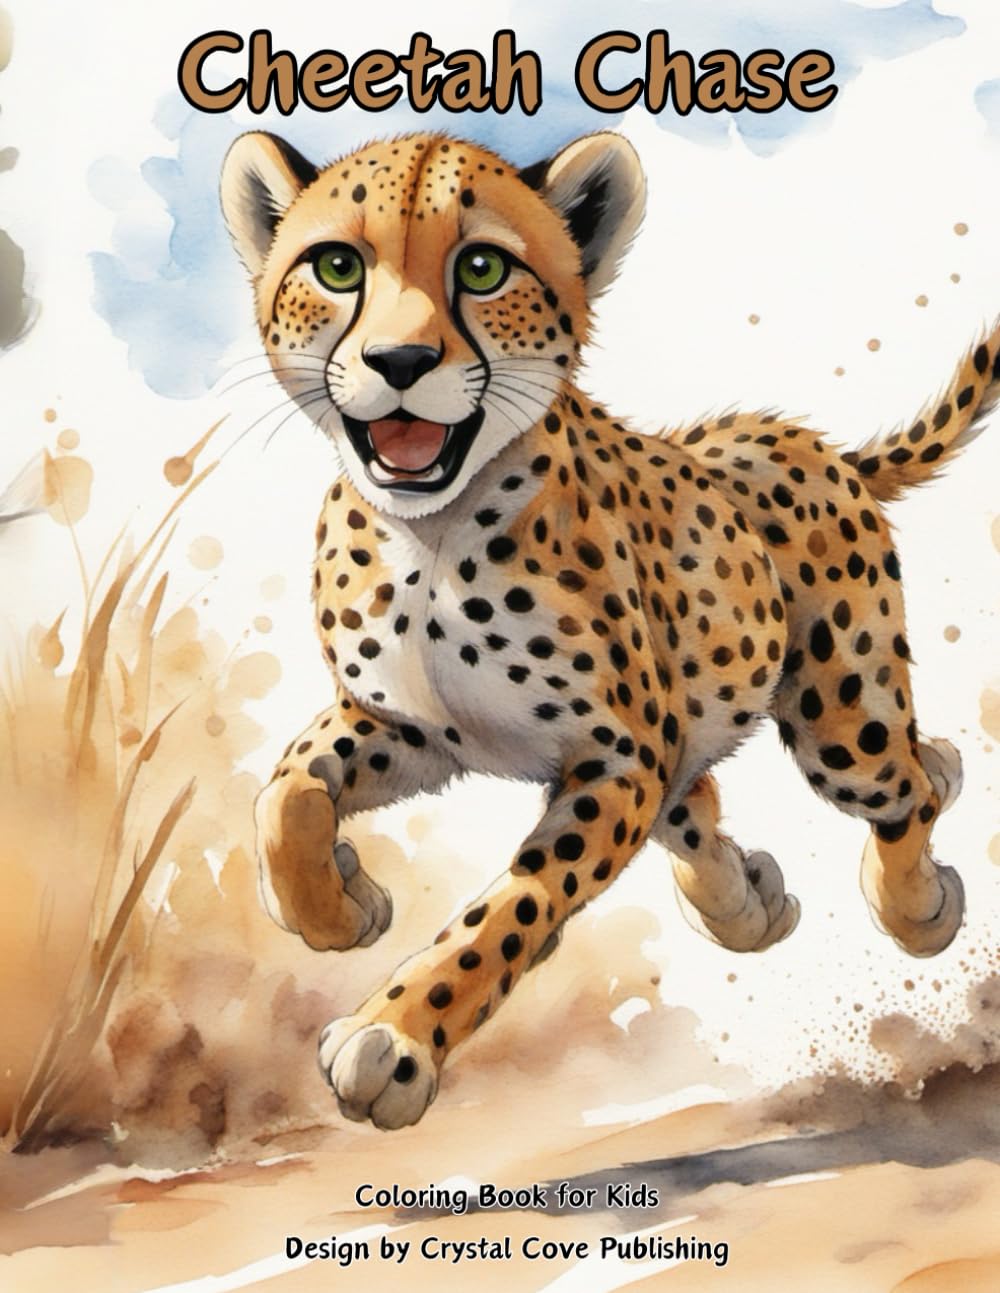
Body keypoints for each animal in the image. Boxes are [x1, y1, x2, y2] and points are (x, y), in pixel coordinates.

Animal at [220, 128, 997, 1130]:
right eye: (337, 266)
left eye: (482, 267)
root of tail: (806, 441)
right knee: (707, 801)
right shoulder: (415, 726)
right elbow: (286, 796)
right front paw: (337, 907)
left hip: (838, 718)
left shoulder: (615, 758)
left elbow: (511, 909)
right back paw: (747, 901)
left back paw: (916, 902)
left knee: (896, 789)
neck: (433, 536)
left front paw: (392, 1035)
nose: (400, 361)